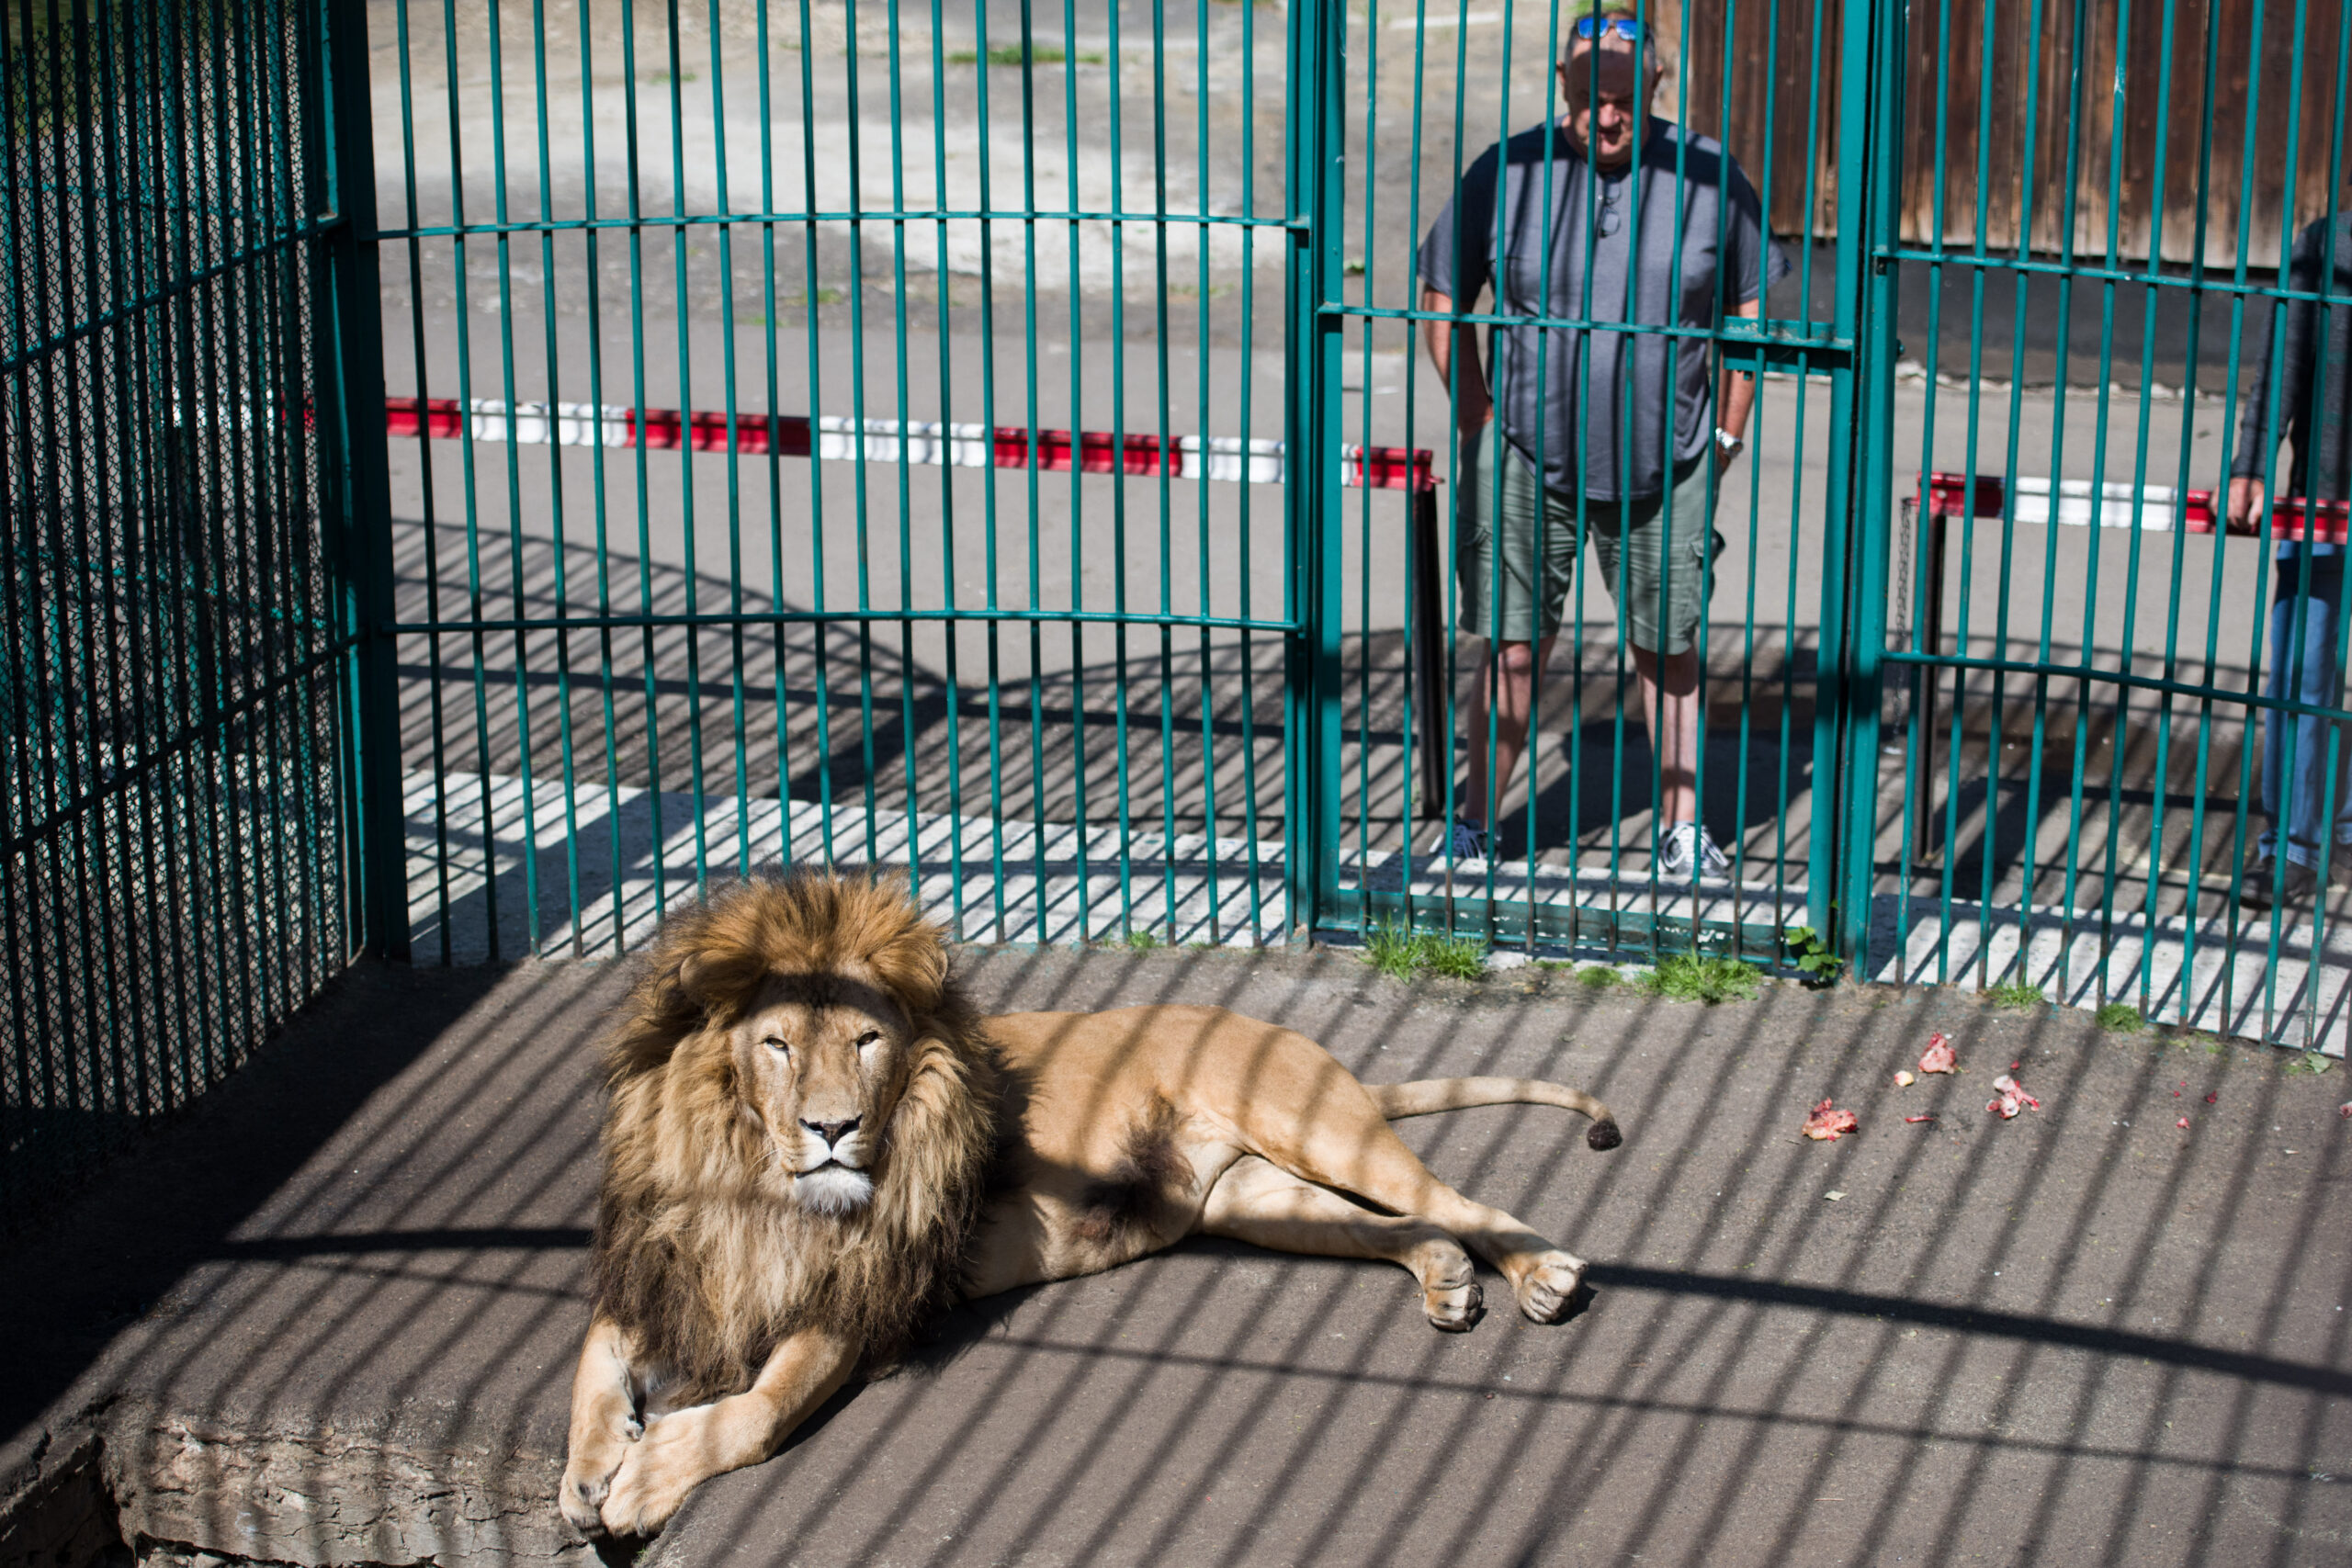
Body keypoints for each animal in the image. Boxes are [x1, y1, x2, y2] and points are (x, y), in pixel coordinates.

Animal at [561, 872, 1620, 1537]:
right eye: (776, 1044)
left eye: (867, 1039)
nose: (832, 1128)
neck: (746, 1174)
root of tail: (1281, 1030)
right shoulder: (657, 1266)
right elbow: (594, 1367)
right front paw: (587, 1469)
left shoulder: (863, 1294)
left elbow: (758, 1409)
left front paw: (648, 1476)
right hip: (1256, 1198)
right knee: (1403, 1226)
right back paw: (1445, 1277)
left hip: (1314, 1127)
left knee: (1460, 1197)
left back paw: (1546, 1273)